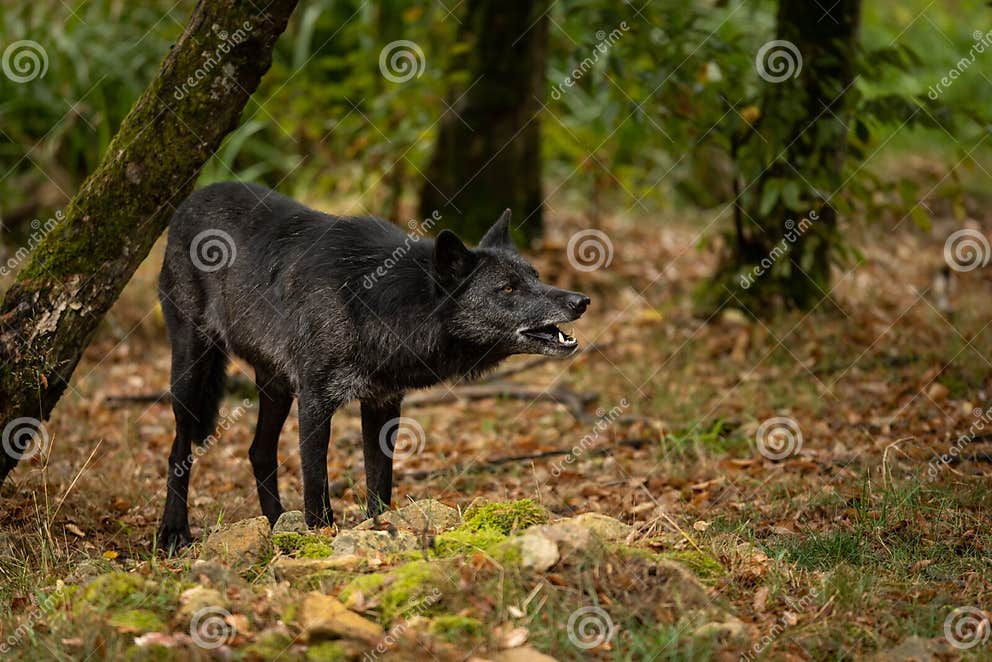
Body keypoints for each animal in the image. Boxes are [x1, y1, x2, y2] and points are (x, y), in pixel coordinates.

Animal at [156, 182, 589, 550]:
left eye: (536, 277)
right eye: (508, 289)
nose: (580, 301)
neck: (375, 301)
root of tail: (191, 200)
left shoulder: (383, 404)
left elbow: (380, 484)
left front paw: (378, 529)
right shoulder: (315, 401)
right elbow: (317, 484)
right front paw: (320, 539)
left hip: (275, 386)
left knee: (258, 451)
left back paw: (277, 525)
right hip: (191, 370)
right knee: (179, 451)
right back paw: (173, 533)